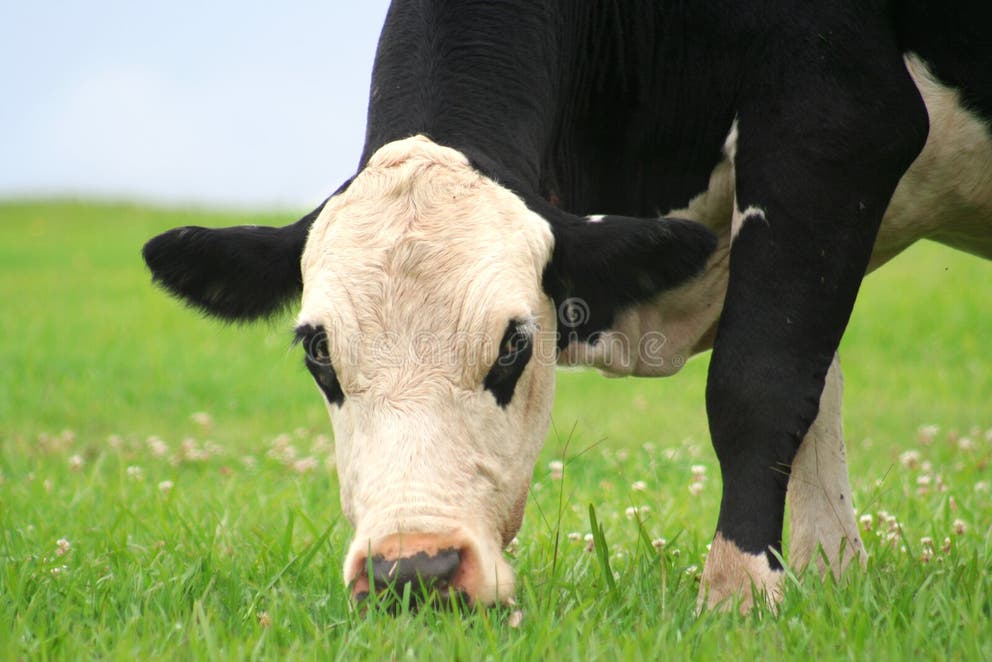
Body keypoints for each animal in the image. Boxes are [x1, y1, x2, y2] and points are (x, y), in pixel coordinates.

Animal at [142, 1, 992, 612]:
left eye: (514, 345)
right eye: (319, 352)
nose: (415, 572)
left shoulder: (839, 116)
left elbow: (760, 383)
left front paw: (741, 594)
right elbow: (815, 398)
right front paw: (825, 581)